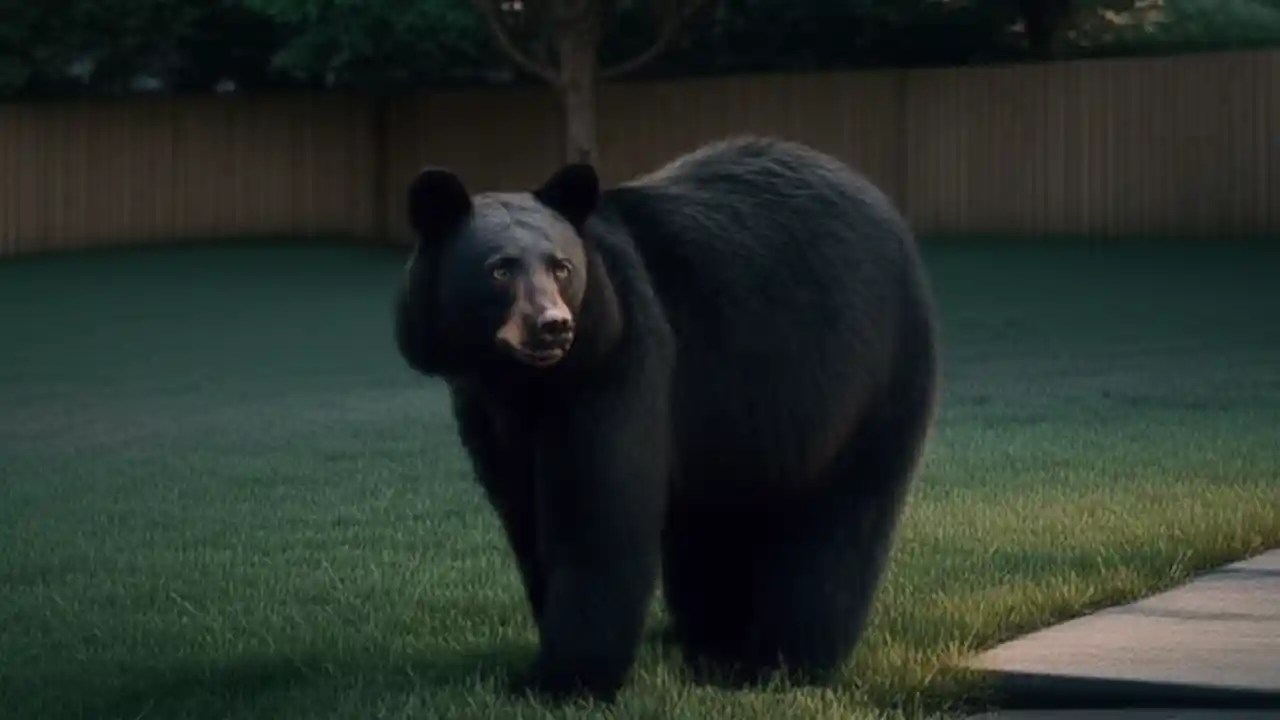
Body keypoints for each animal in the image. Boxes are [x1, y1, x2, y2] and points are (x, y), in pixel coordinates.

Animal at [393, 136, 939, 702]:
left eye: (561, 267)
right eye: (499, 269)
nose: (553, 326)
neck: (527, 384)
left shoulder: (622, 359)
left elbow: (601, 510)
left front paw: (564, 679)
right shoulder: (487, 408)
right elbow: (525, 513)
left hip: (868, 382)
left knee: (837, 526)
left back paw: (783, 661)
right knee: (716, 525)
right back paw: (712, 649)